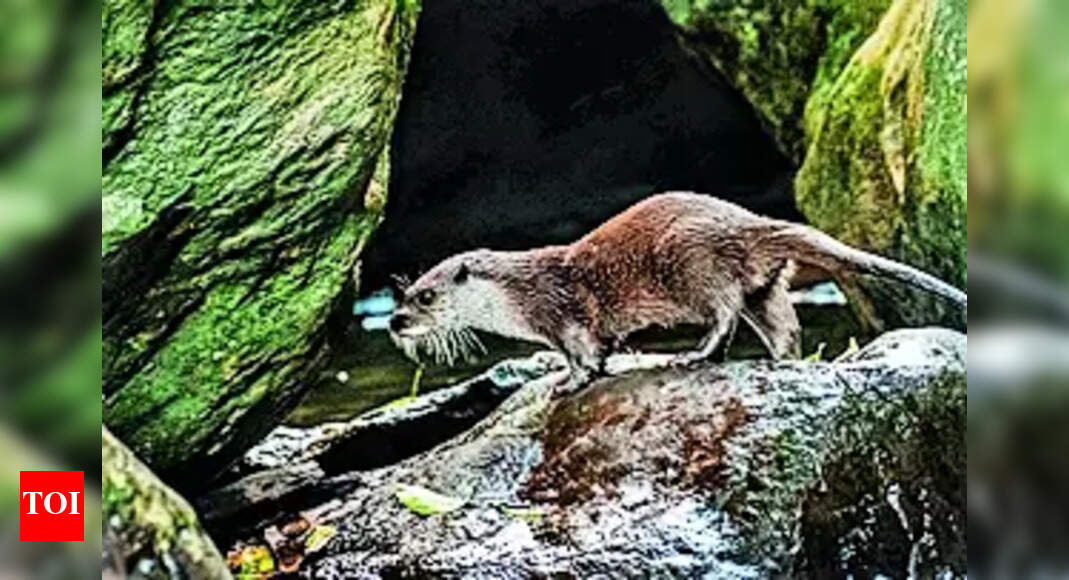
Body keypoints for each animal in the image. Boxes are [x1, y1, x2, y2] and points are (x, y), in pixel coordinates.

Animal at [388, 192, 966, 385]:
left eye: (425, 296)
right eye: (403, 293)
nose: (394, 321)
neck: (518, 292)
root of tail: (747, 223)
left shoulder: (562, 312)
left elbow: (582, 353)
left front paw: (569, 383)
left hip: (692, 260)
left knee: (724, 313)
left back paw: (692, 355)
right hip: (765, 284)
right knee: (781, 322)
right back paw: (786, 362)